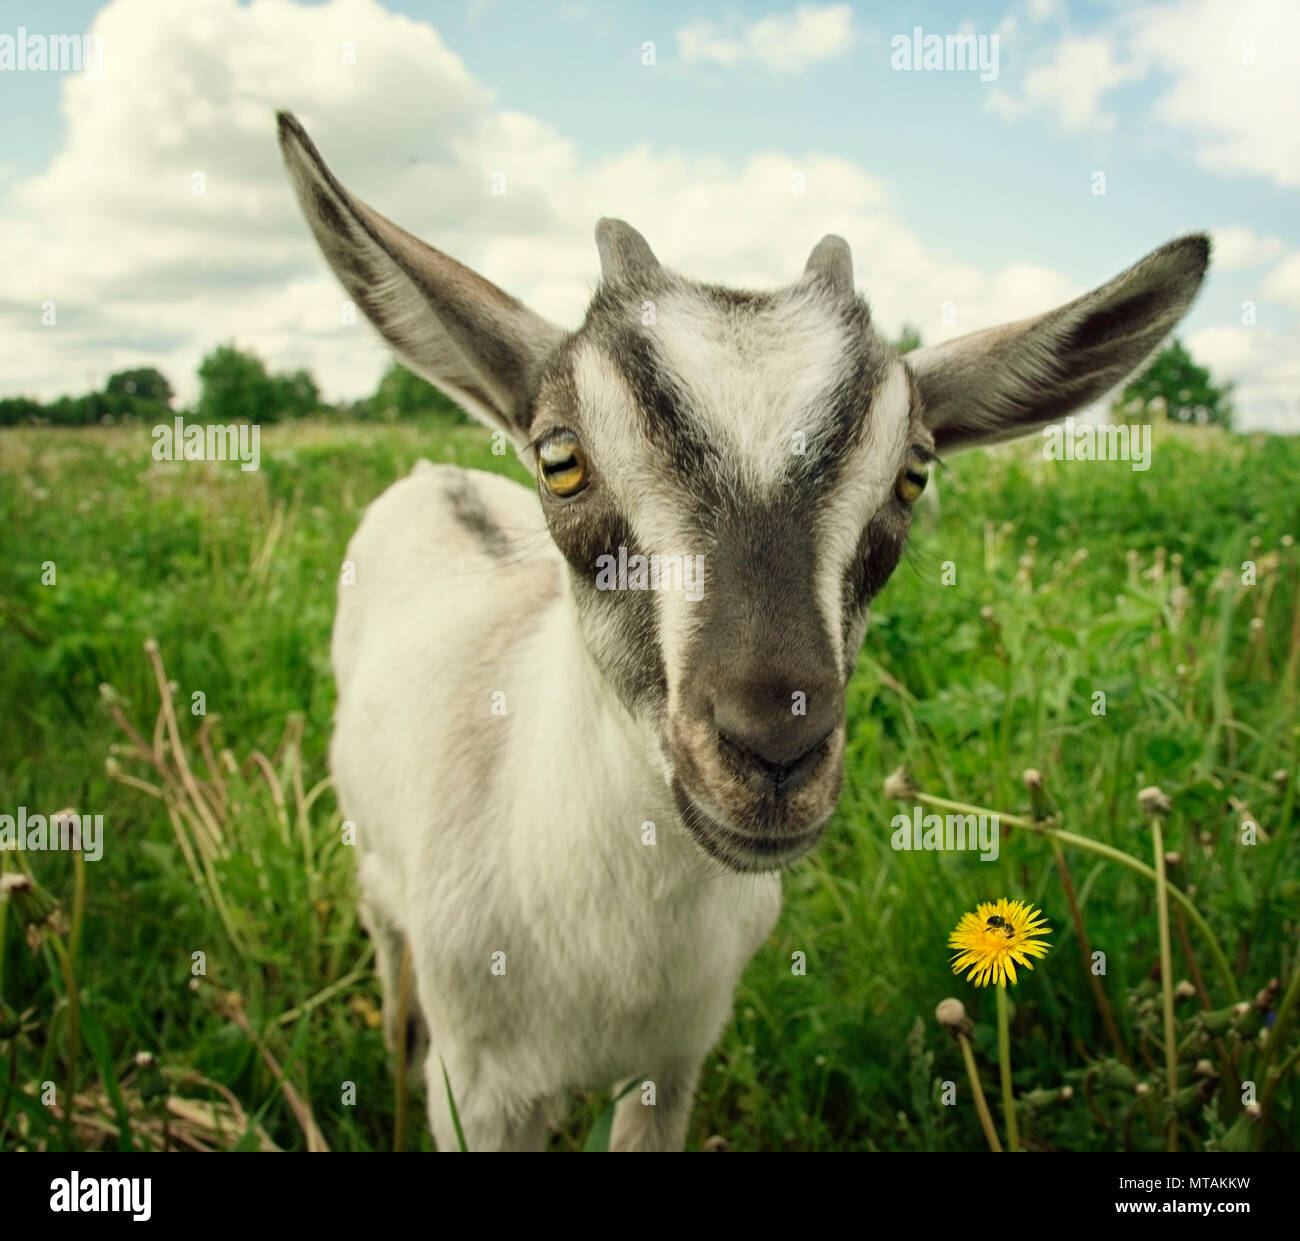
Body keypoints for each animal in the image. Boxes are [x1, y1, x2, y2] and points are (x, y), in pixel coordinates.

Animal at [277, 111, 1208, 1151]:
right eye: (560, 459)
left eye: (913, 473)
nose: (774, 747)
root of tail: (432, 475)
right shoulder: (478, 1098)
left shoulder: (671, 1064)